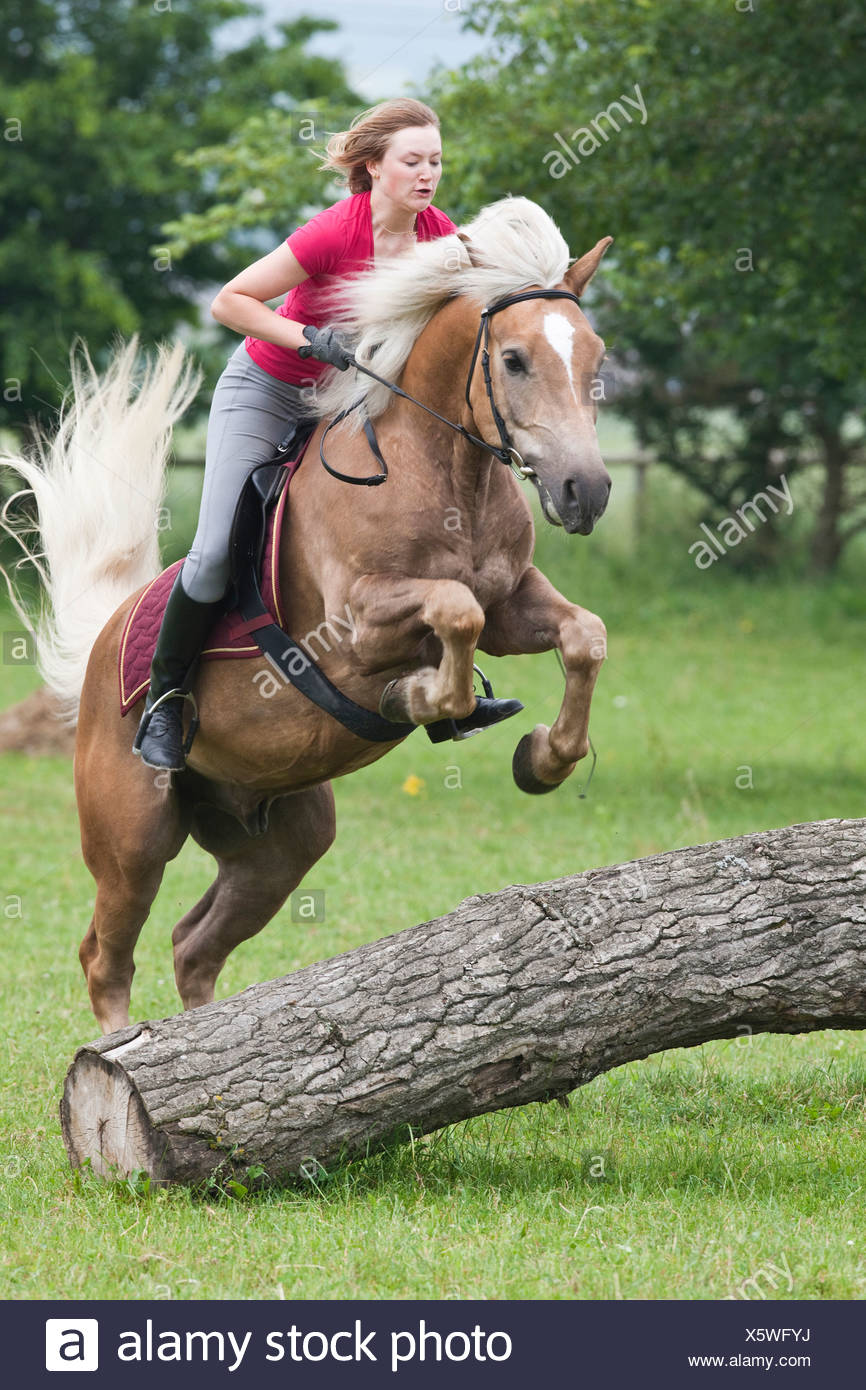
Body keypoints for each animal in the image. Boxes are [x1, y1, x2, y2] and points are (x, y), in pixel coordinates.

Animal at [2, 197, 613, 1034]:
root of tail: (104, 638)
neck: (442, 469)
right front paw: (420, 698)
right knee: (106, 955)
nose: (587, 491)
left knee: (193, 945)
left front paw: (543, 759)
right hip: (133, 833)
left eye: (596, 358)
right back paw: (129, 1049)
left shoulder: (512, 604)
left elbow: (583, 635)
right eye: (515, 360)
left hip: (282, 841)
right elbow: (451, 615)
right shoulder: (357, 623)